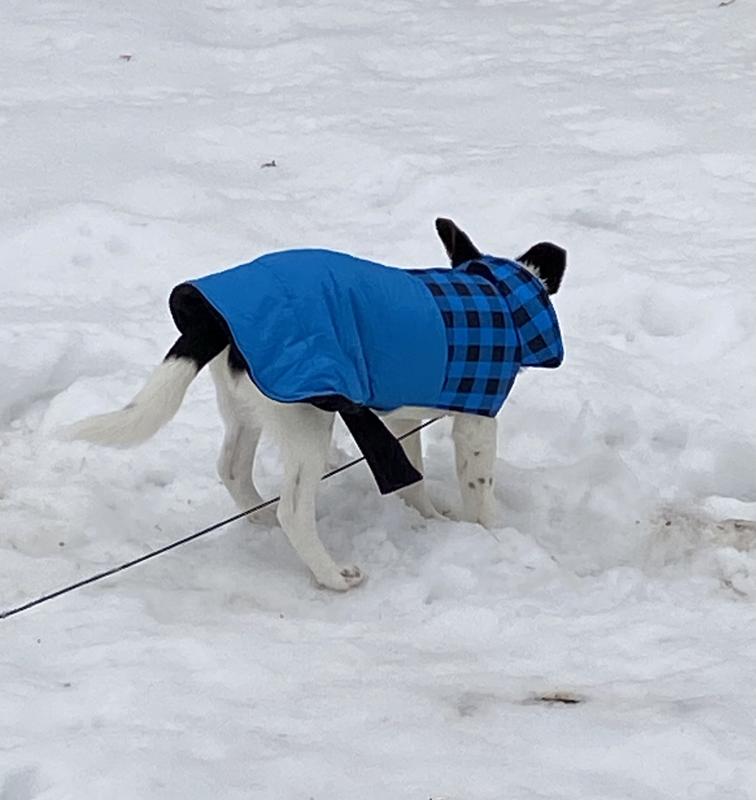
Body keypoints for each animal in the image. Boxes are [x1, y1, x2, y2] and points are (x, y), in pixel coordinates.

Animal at [68, 217, 564, 588]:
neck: (496, 297)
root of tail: (215, 320)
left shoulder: (401, 421)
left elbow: (413, 479)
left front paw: (427, 520)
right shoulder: (477, 422)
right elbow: (479, 491)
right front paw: (494, 534)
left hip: (246, 409)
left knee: (232, 468)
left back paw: (260, 518)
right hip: (306, 419)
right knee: (292, 510)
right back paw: (331, 574)